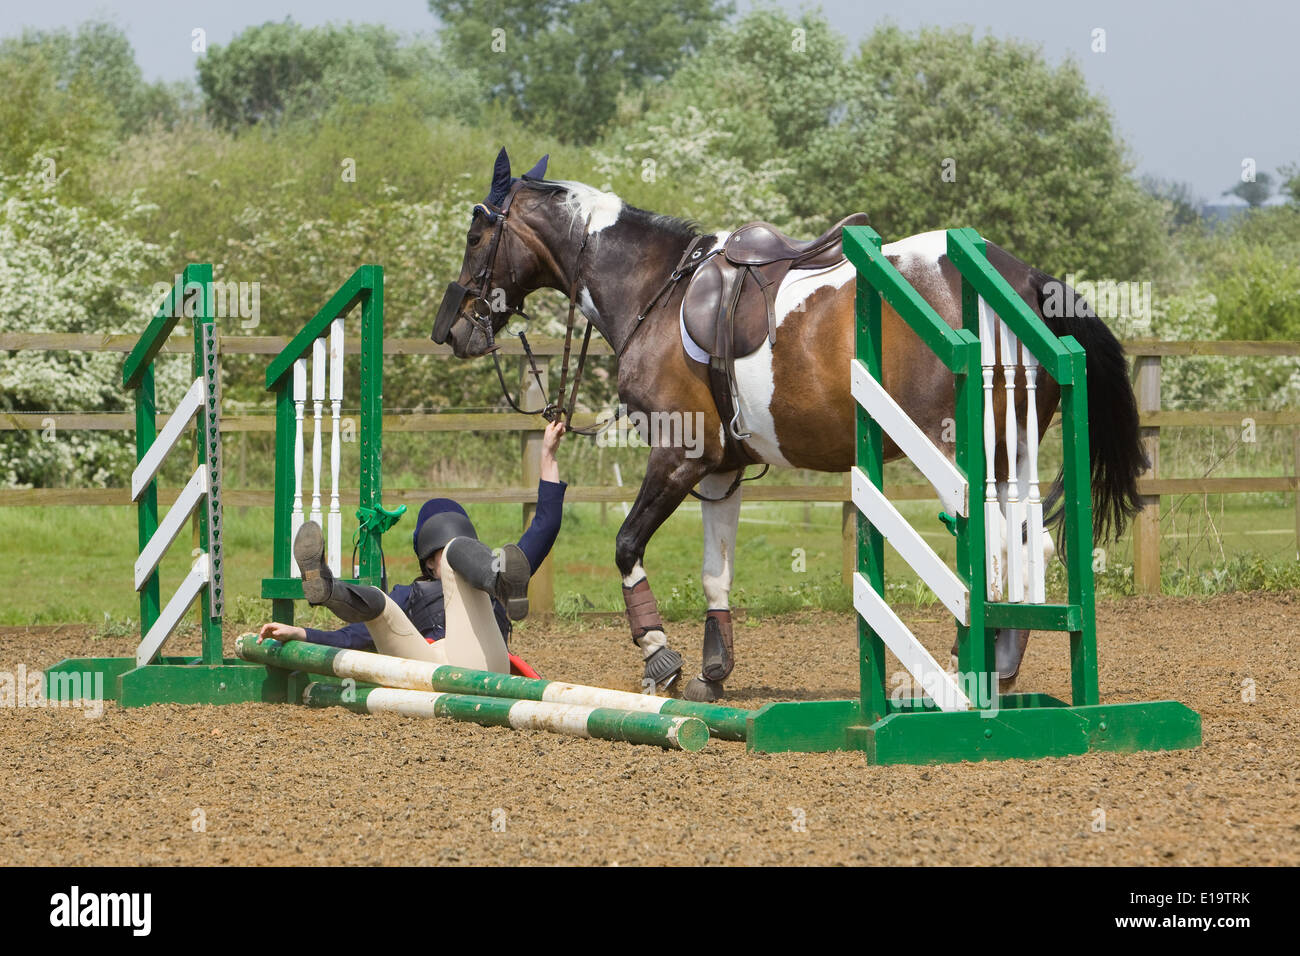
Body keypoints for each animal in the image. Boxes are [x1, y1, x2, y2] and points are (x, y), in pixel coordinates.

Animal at [434, 149, 1146, 702]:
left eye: (475, 236)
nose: (452, 331)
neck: (655, 292)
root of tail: (1028, 282)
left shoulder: (677, 457)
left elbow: (627, 545)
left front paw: (659, 657)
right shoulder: (718, 472)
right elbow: (715, 572)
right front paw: (712, 673)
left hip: (959, 456)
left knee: (999, 551)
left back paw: (960, 676)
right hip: (1009, 453)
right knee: (1028, 546)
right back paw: (993, 674)